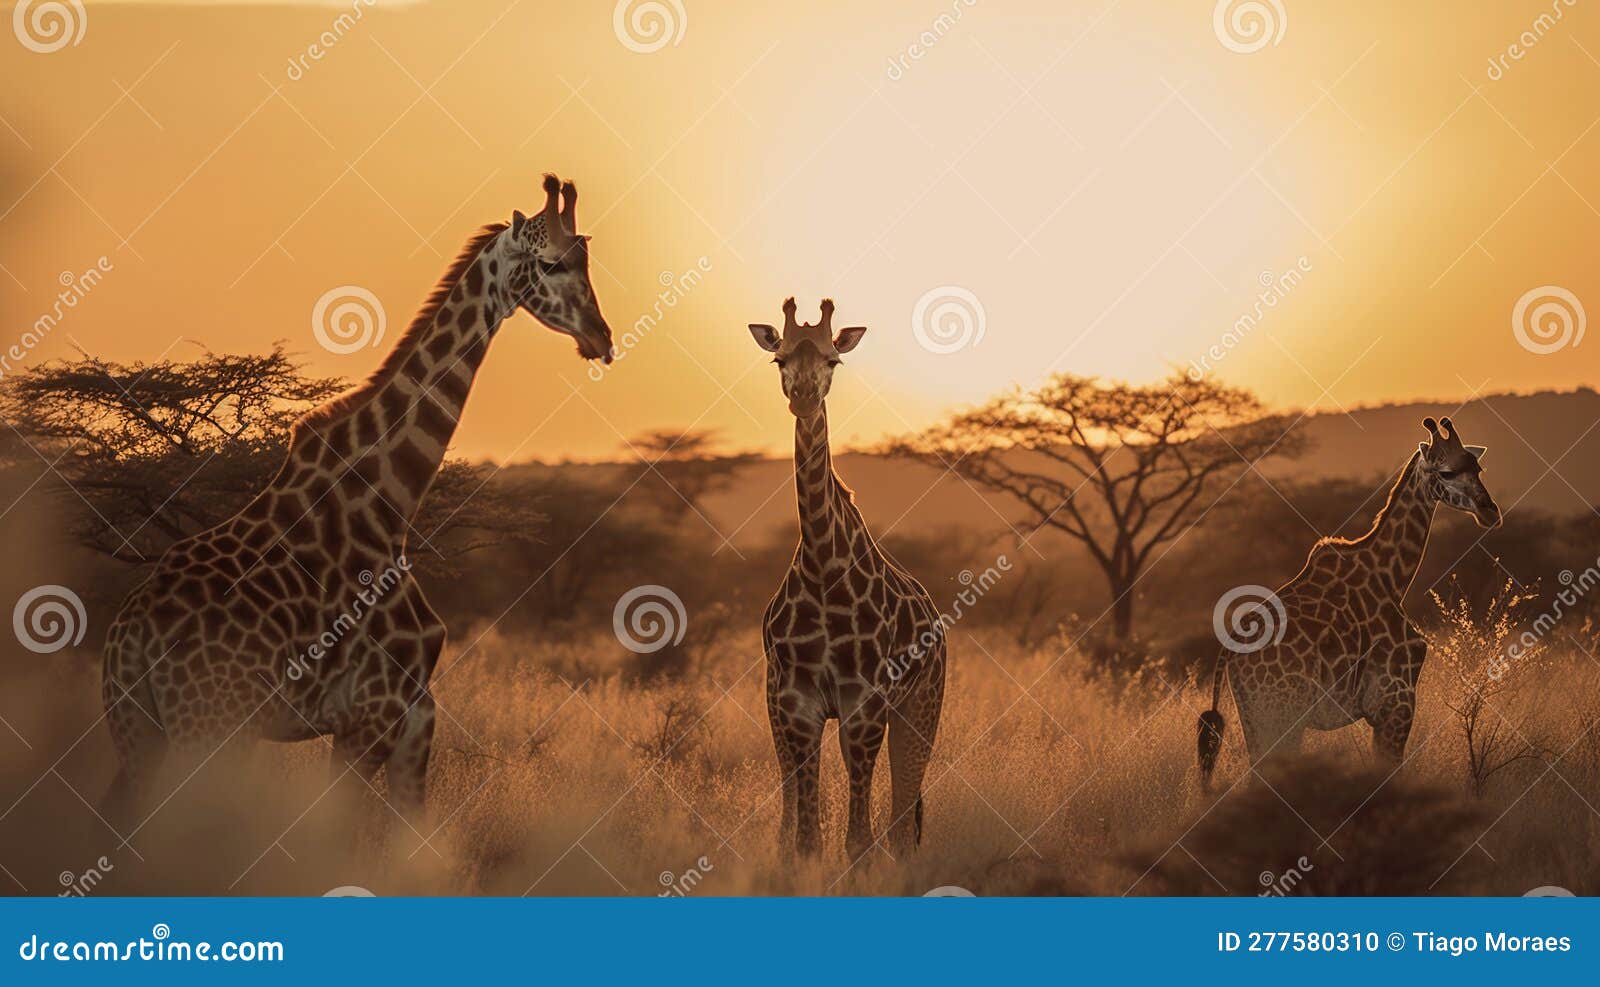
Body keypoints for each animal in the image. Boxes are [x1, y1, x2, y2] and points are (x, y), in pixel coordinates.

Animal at [99, 174, 614, 827]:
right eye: (551, 263)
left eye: (587, 259)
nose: (603, 338)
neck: (388, 501)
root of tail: (133, 636)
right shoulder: (374, 714)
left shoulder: (416, 711)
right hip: (210, 730)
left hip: (138, 731)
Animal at [748, 298, 946, 862]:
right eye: (779, 359)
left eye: (833, 360)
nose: (803, 398)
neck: (823, 568)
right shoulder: (797, 704)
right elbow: (806, 841)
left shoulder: (865, 705)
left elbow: (859, 840)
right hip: (773, 703)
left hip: (922, 706)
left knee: (903, 819)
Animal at [1197, 416, 1501, 790]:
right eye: (1446, 472)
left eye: (1478, 467)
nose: (1489, 513)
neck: (1391, 577)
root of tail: (1229, 654)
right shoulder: (1394, 703)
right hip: (1281, 716)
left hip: (1259, 719)